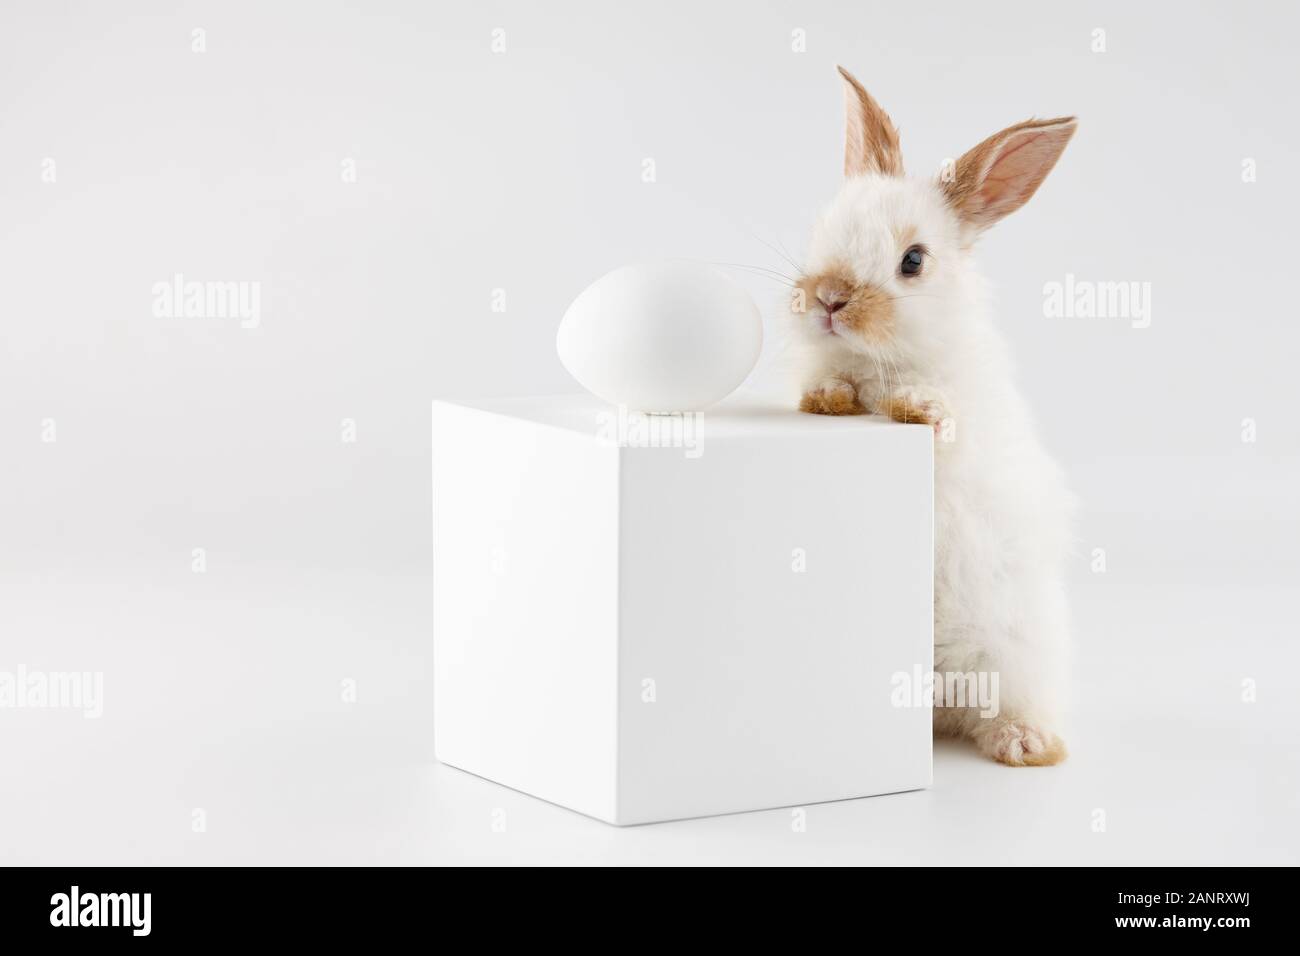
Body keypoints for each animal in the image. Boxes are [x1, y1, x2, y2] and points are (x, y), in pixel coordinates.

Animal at [789, 66, 1077, 766]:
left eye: (913, 261)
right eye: (824, 230)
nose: (828, 299)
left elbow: (944, 427)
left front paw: (918, 408)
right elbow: (822, 386)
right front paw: (831, 398)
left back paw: (1026, 744)